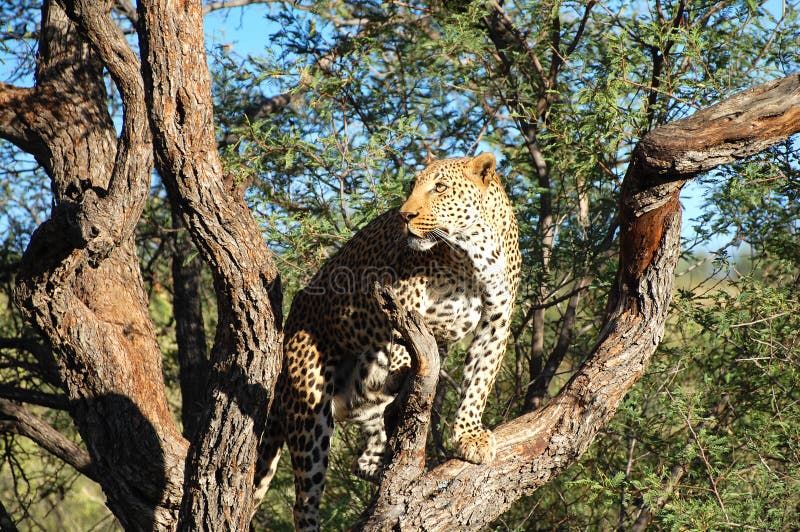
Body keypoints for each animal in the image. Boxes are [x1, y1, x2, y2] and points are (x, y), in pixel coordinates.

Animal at [253, 153, 521, 531]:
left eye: (440, 188)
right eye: (412, 186)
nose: (404, 215)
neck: (471, 254)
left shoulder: (497, 320)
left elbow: (479, 381)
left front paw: (469, 436)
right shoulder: (398, 292)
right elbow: (399, 333)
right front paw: (401, 364)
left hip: (366, 408)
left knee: (364, 458)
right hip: (310, 410)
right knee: (304, 500)